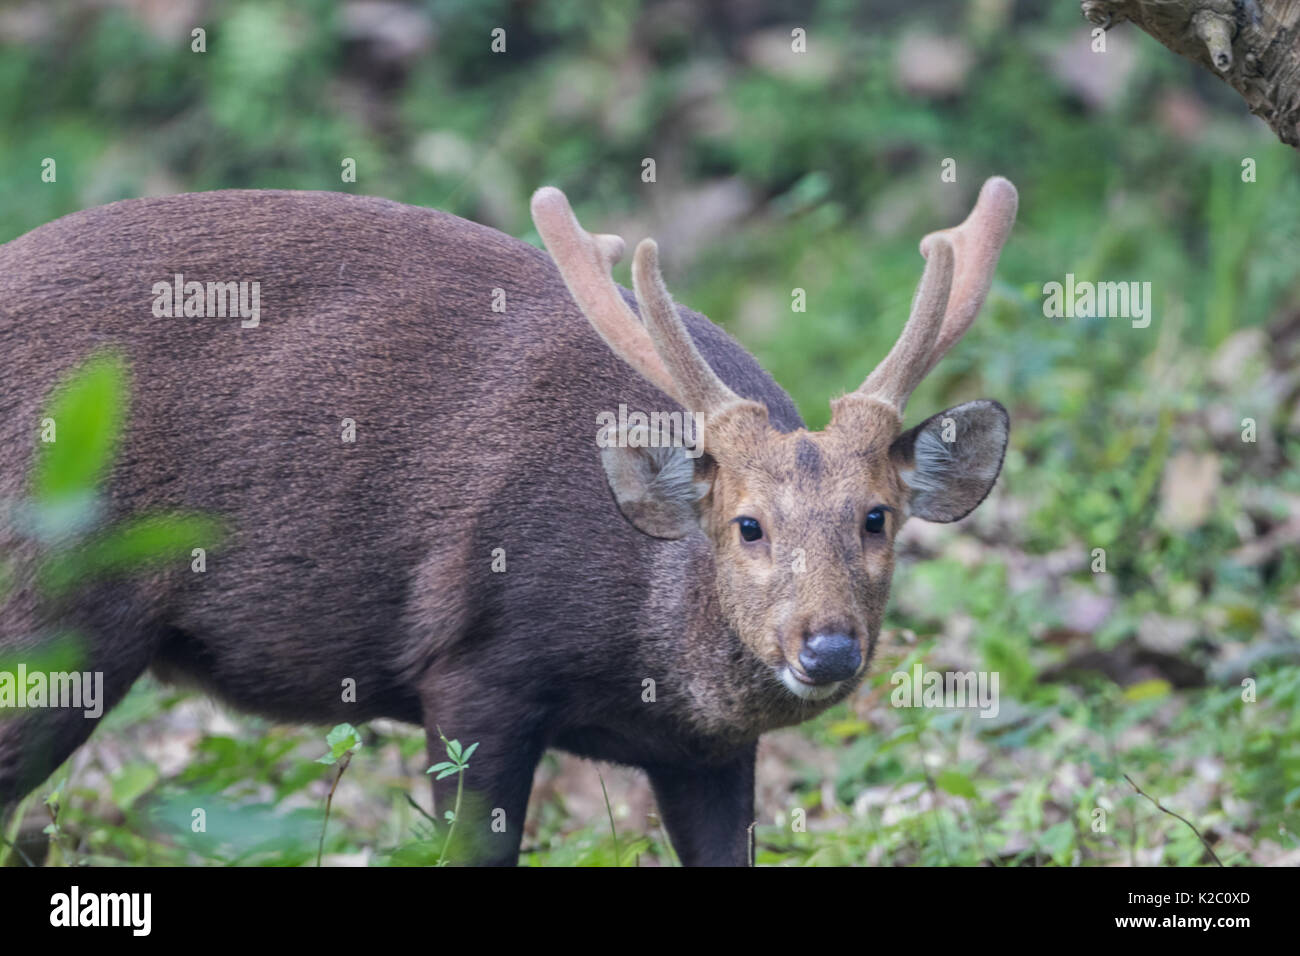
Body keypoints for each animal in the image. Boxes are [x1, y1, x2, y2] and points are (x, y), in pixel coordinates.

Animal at [0, 175, 1017, 865]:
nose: (828, 647)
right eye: (748, 525)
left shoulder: (710, 749)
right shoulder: (474, 667)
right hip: (50, 611)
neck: (645, 647)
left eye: (877, 517)